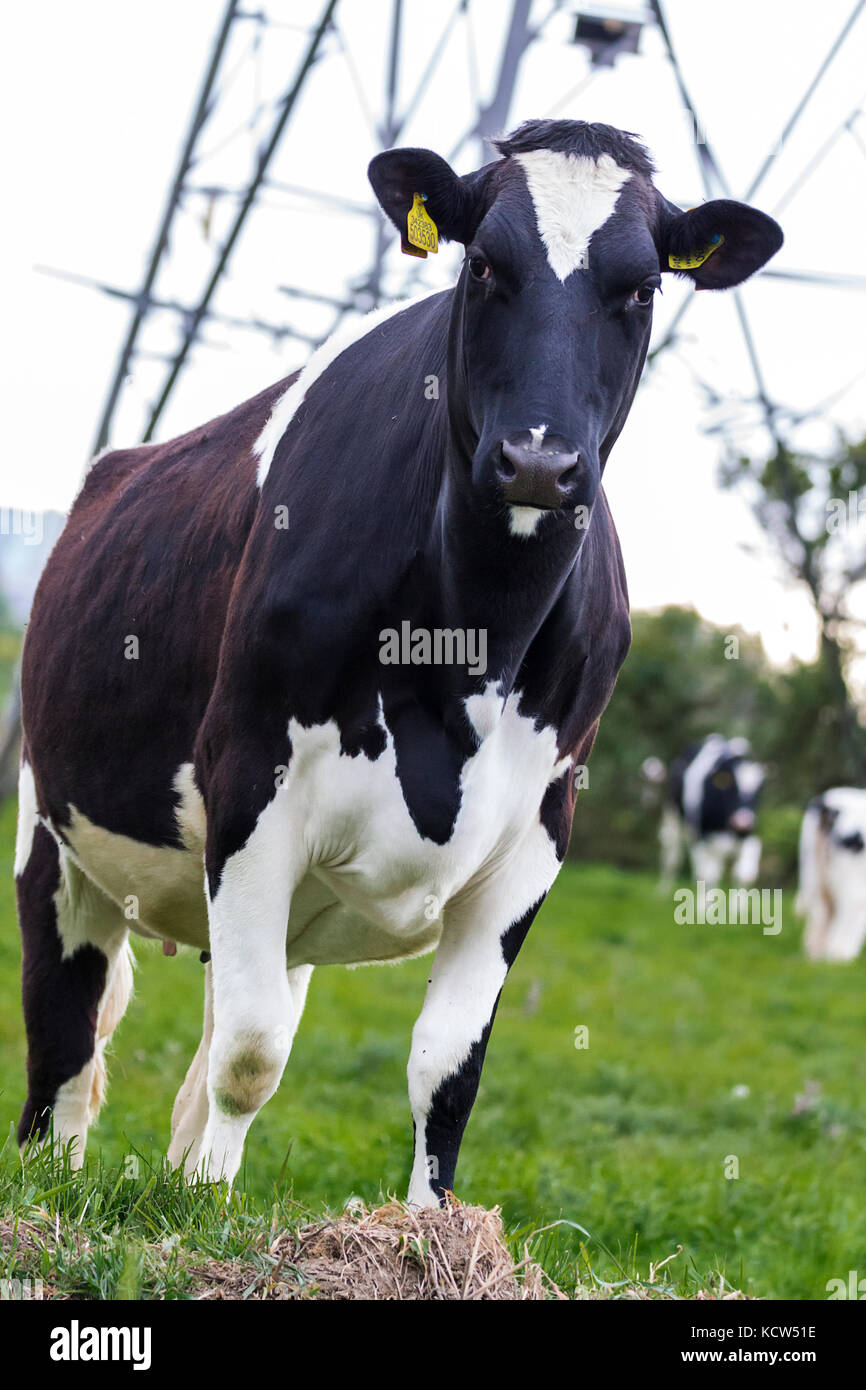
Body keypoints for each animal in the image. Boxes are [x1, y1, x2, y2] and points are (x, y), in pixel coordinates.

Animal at [656, 735, 766, 889]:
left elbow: (744, 876)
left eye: (758, 791)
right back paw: (663, 889)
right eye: (730, 786)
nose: (743, 822)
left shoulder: (749, 837)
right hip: (672, 818)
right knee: (672, 856)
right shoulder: (701, 836)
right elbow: (708, 876)